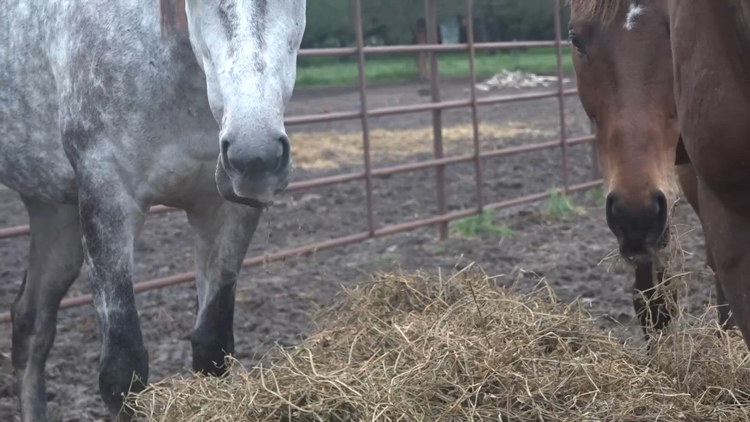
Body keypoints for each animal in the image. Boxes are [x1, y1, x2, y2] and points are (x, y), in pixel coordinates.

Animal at [0, 0, 306, 420]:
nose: (255, 158)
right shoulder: (107, 197)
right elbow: (121, 369)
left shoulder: (224, 212)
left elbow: (211, 346)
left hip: (54, 215)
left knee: (31, 326)